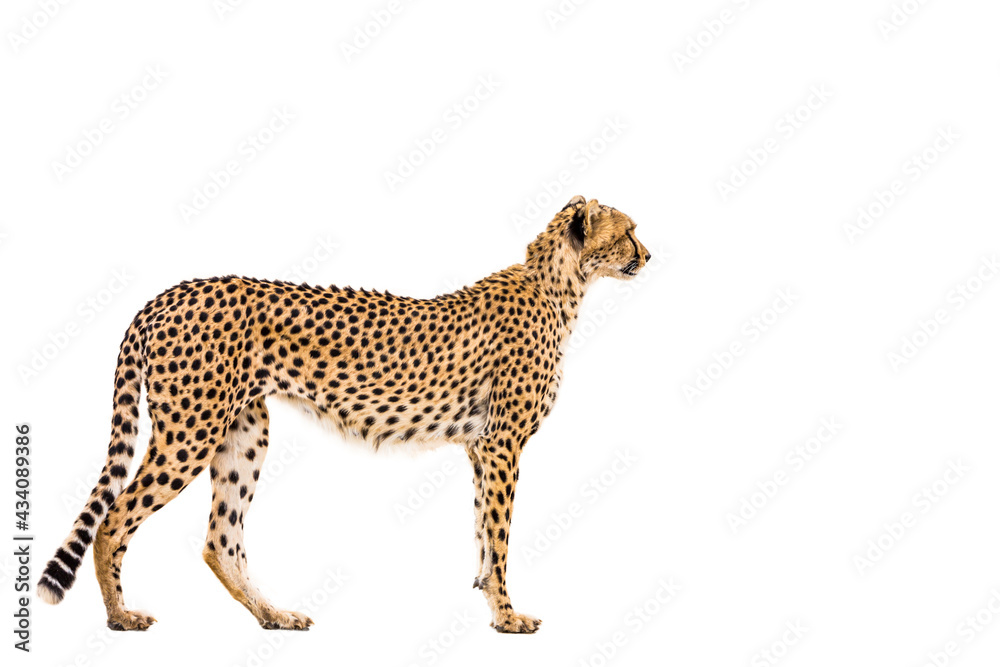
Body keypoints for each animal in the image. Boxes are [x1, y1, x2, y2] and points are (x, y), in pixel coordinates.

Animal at [37, 196, 651, 634]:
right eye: (628, 231)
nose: (648, 255)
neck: (560, 285)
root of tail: (167, 293)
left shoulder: (481, 446)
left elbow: (482, 531)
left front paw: (488, 599)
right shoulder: (502, 444)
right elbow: (498, 536)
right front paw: (506, 616)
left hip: (245, 432)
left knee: (220, 539)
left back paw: (273, 615)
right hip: (191, 431)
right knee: (115, 519)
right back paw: (120, 616)